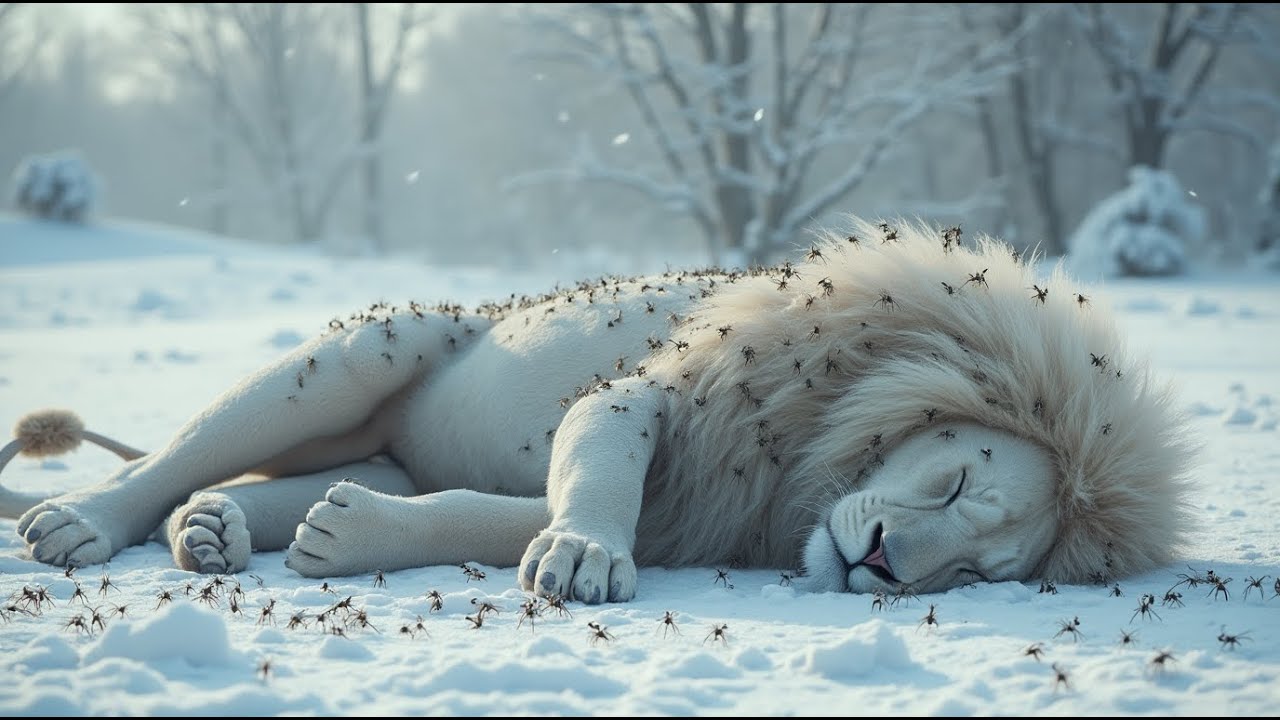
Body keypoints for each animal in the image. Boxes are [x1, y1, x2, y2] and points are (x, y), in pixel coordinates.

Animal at [0, 220, 1194, 603]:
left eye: (978, 572)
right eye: (948, 484)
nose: (887, 565)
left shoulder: (698, 511)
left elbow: (490, 516)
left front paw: (347, 539)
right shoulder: (663, 393)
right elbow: (596, 464)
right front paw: (580, 561)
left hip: (379, 447)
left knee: (261, 483)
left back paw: (214, 533)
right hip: (368, 352)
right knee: (174, 456)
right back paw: (82, 525)